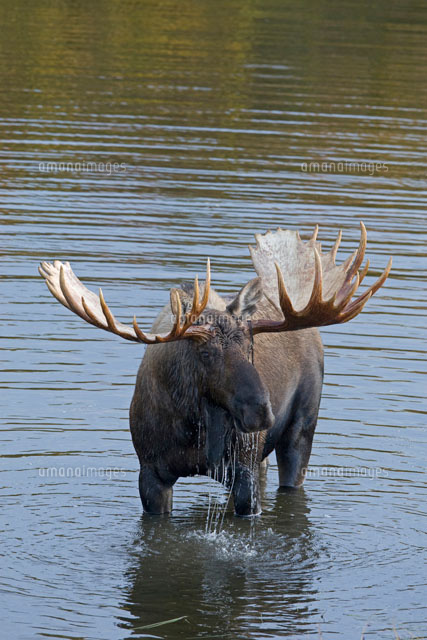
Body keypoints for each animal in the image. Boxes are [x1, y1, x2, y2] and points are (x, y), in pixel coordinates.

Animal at [39, 223, 391, 516]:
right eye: (206, 353)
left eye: (250, 346)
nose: (261, 412)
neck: (192, 428)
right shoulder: (150, 473)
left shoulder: (243, 471)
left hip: (302, 423)